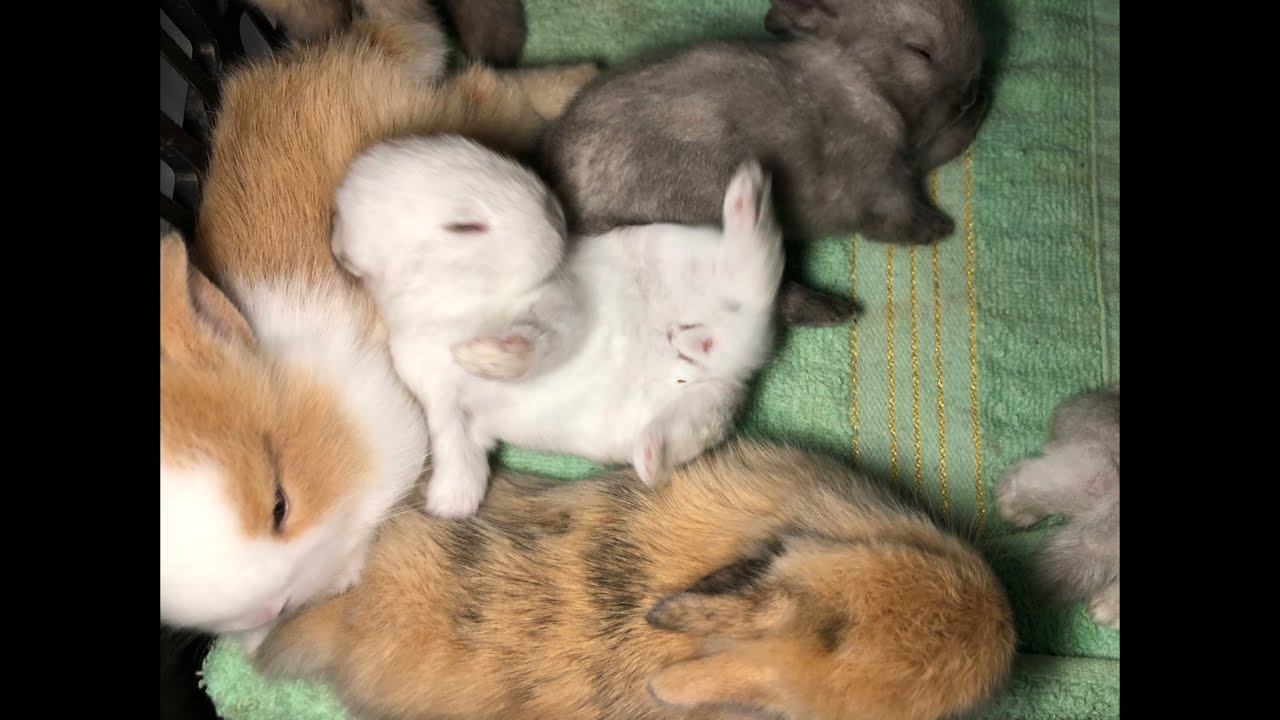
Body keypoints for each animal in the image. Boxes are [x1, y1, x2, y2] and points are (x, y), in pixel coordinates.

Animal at [332, 134, 784, 517]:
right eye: (463, 226)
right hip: (701, 396)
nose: (553, 213)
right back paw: (653, 456)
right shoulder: (443, 404)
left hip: (677, 251)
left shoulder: (562, 303)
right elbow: (457, 451)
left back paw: (748, 194)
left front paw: (486, 357)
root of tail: (730, 347)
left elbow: (544, 341)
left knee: (753, 272)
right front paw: (449, 505)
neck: (458, 309)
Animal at [541, 0, 988, 327]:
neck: (863, 80)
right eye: (920, 51)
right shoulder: (880, 177)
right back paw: (835, 310)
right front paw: (939, 228)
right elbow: (901, 209)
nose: (968, 95)